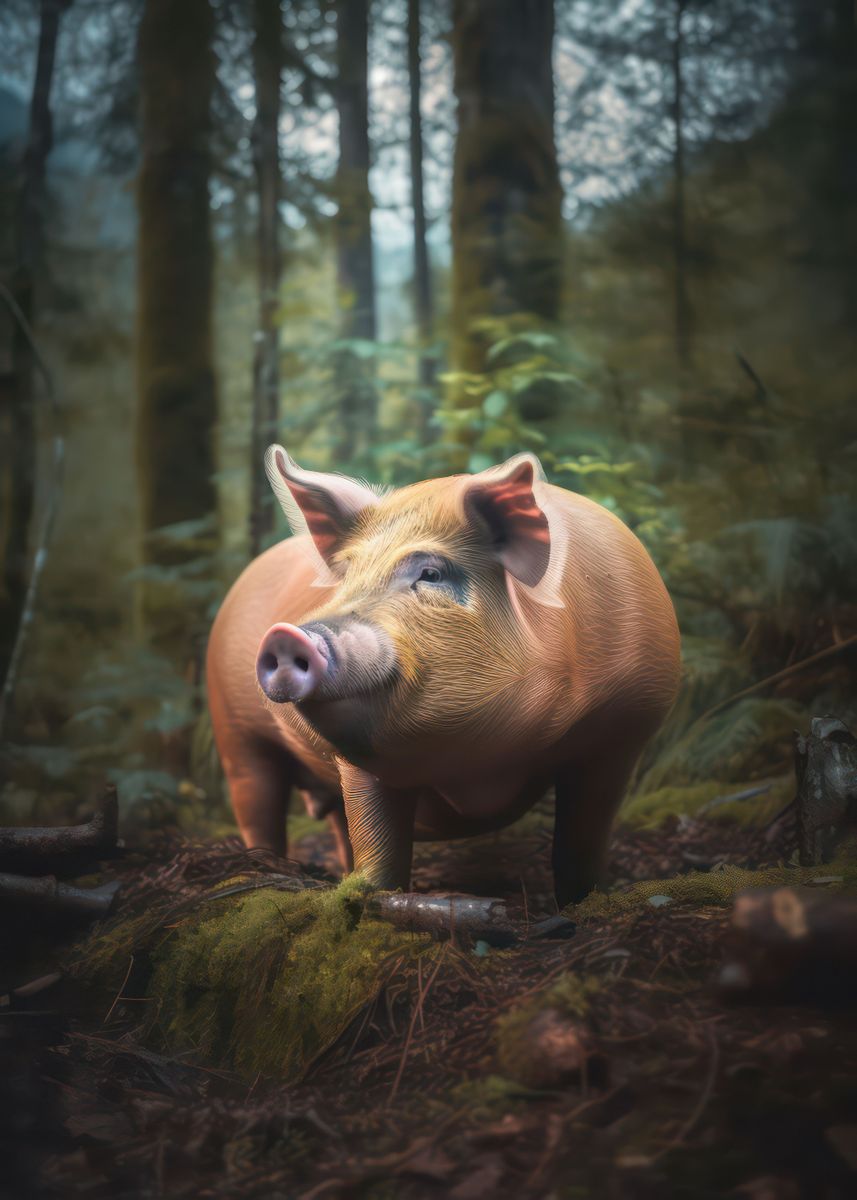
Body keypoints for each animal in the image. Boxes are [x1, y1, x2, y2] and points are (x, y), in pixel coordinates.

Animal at [206, 448, 681, 906]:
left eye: (431, 573)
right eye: (348, 575)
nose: (286, 635)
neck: (481, 763)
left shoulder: (622, 735)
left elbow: (579, 845)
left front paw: (584, 903)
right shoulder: (358, 767)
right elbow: (379, 848)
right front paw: (370, 898)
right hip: (234, 735)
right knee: (261, 808)